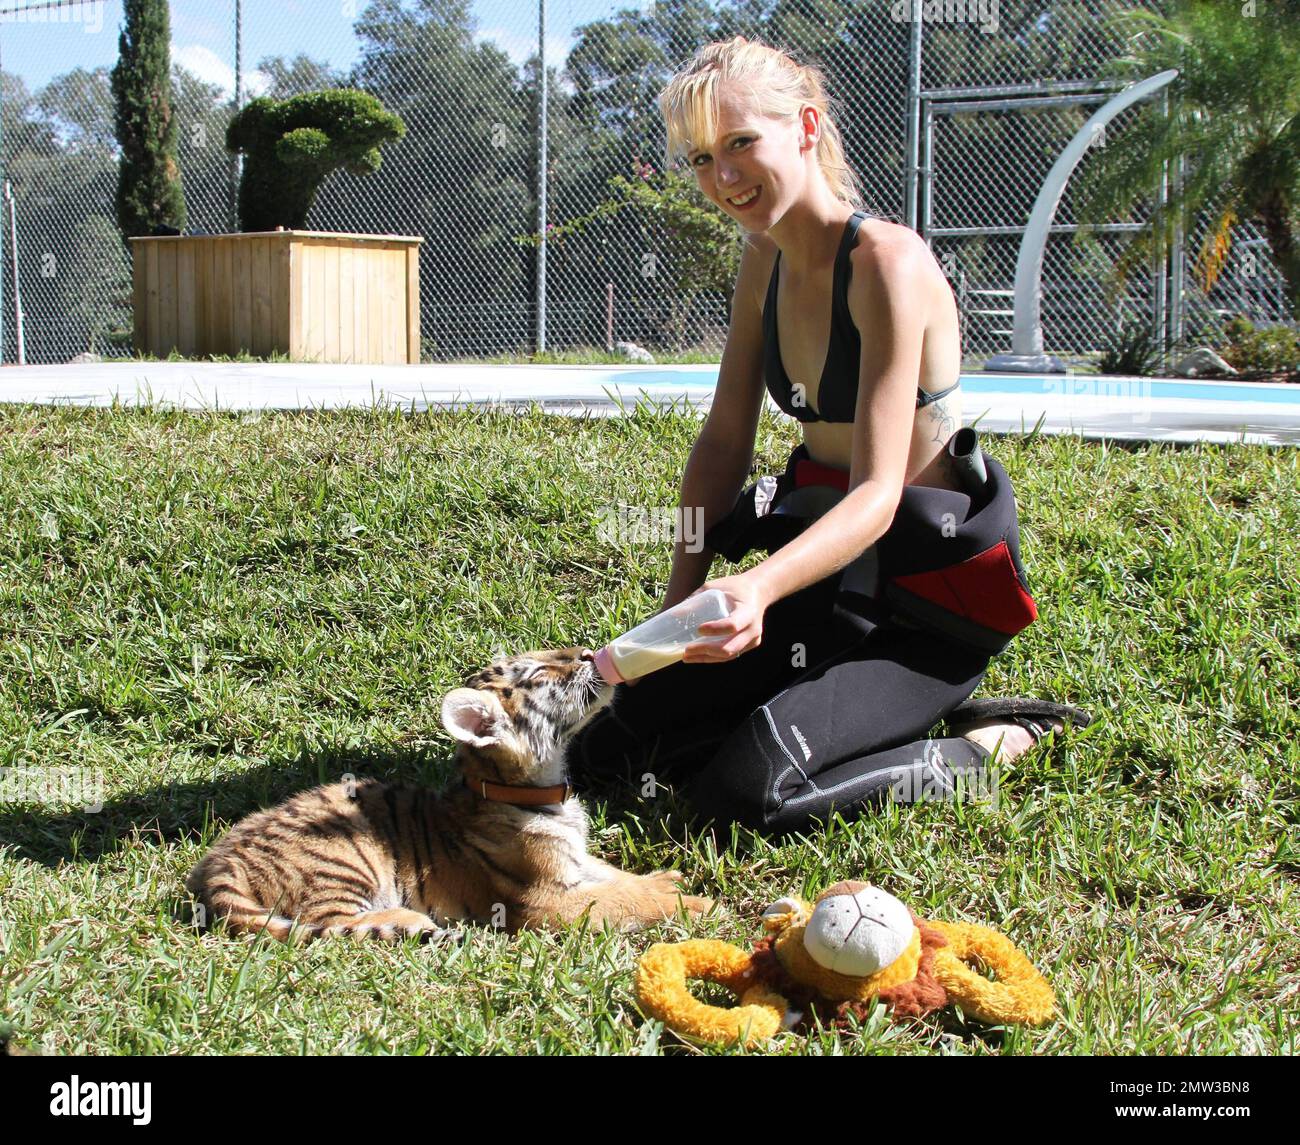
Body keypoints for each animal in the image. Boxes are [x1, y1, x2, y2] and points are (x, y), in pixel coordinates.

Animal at [185, 646, 711, 941]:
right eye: (538, 675)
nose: (587, 653)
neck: (536, 786)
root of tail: (217, 865)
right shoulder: (542, 901)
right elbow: (619, 901)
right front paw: (696, 906)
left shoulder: (574, 860)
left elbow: (616, 877)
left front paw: (665, 880)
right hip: (345, 860)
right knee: (331, 921)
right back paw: (411, 923)